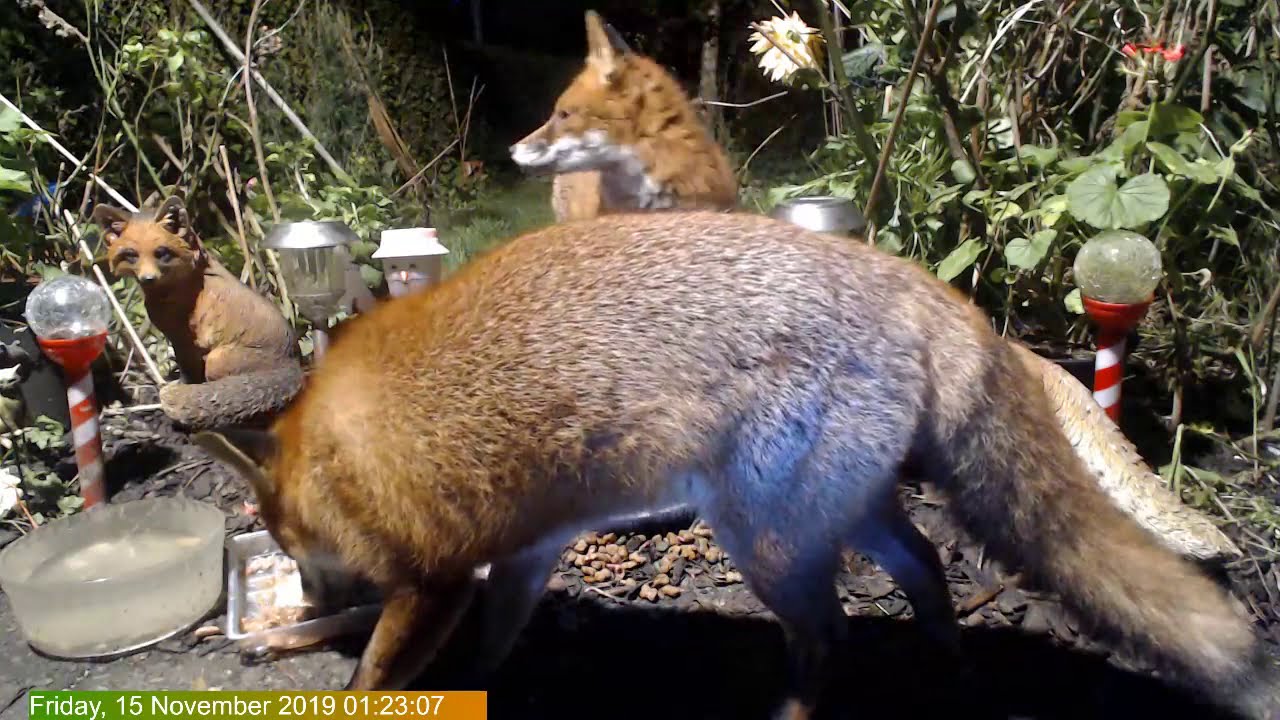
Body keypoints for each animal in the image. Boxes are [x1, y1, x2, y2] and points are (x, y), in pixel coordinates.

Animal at [91, 196, 303, 430]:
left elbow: (188, 374)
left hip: (216, 359)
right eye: (131, 255)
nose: (148, 278)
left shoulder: (184, 339)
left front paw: (185, 387)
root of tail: (294, 363)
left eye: (161, 253)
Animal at [195, 210, 1278, 720]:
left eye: (287, 538)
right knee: (926, 567)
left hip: (761, 539)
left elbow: (377, 663)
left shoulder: (437, 573)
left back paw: (796, 707)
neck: (346, 454)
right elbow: (450, 637)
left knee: (831, 635)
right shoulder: (521, 552)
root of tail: (927, 288)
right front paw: (287, 636)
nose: (296, 581)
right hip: (838, 514)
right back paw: (947, 661)